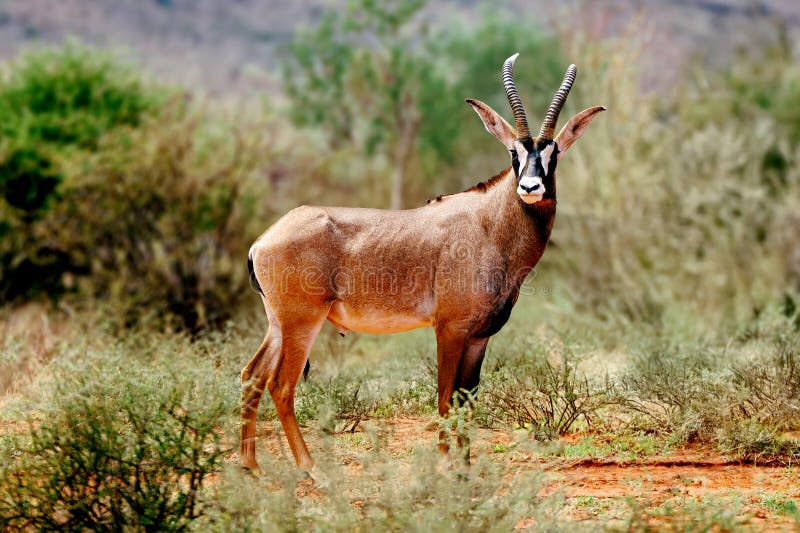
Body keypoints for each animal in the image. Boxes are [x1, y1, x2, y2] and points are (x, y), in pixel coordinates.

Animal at [241, 53, 604, 480]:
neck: (487, 223)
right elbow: (446, 398)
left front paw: (466, 467)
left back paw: (251, 465)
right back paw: (312, 468)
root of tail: (263, 241)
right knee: (281, 385)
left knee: (252, 377)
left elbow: (467, 400)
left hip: (278, 324)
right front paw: (447, 466)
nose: (530, 188)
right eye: (514, 153)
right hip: (302, 323)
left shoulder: (479, 337)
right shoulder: (449, 329)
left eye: (553, 153)